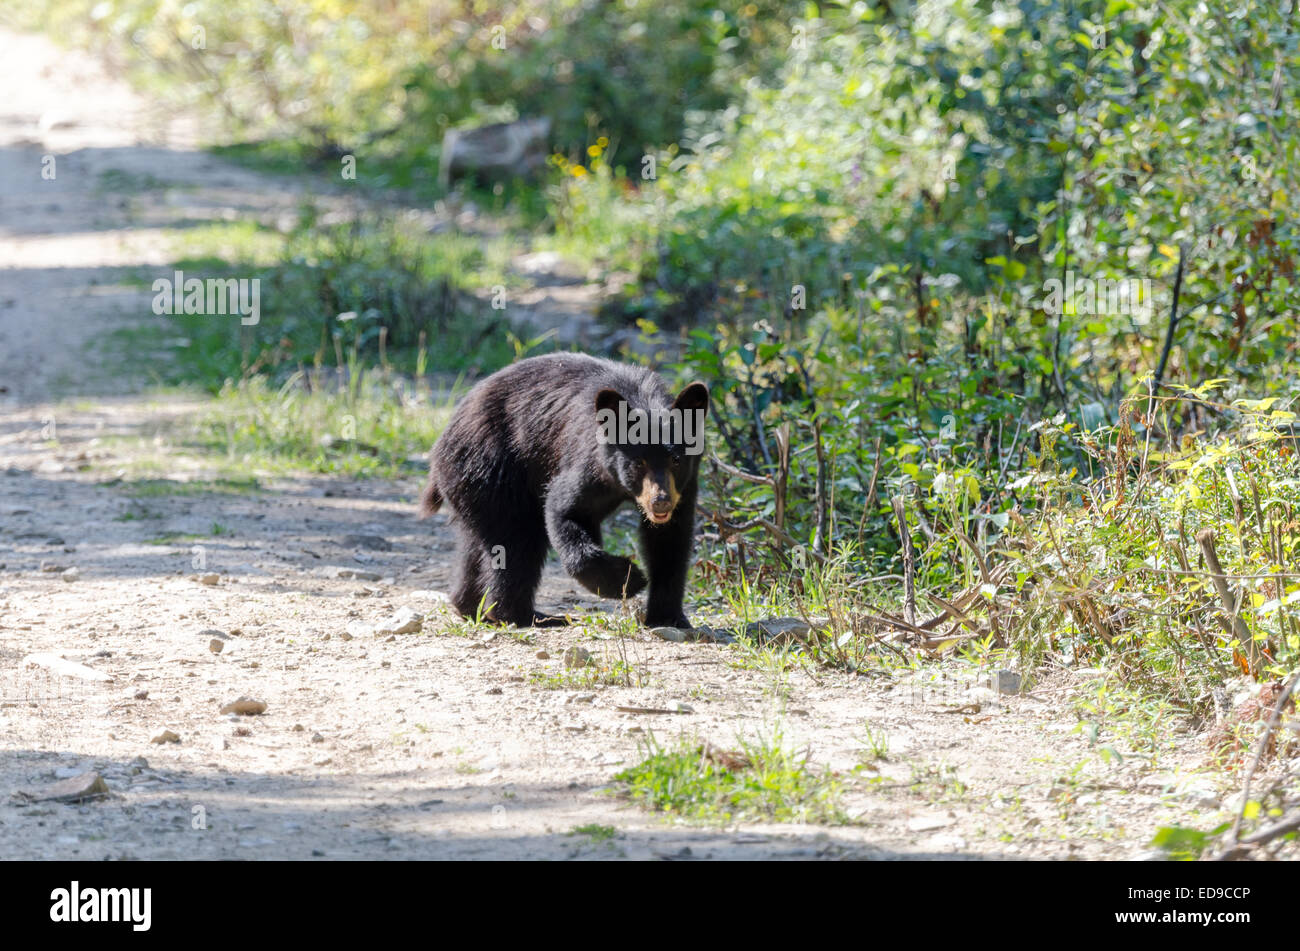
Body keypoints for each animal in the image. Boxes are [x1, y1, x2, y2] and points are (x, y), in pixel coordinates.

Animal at [419, 353, 709, 629]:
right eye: (639, 463)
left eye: (676, 461)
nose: (661, 502)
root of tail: (441, 443)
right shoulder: (589, 465)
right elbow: (566, 509)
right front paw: (629, 577)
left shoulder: (686, 485)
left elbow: (669, 542)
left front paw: (669, 617)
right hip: (491, 467)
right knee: (516, 539)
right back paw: (529, 616)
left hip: (474, 486)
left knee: (478, 543)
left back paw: (470, 607)